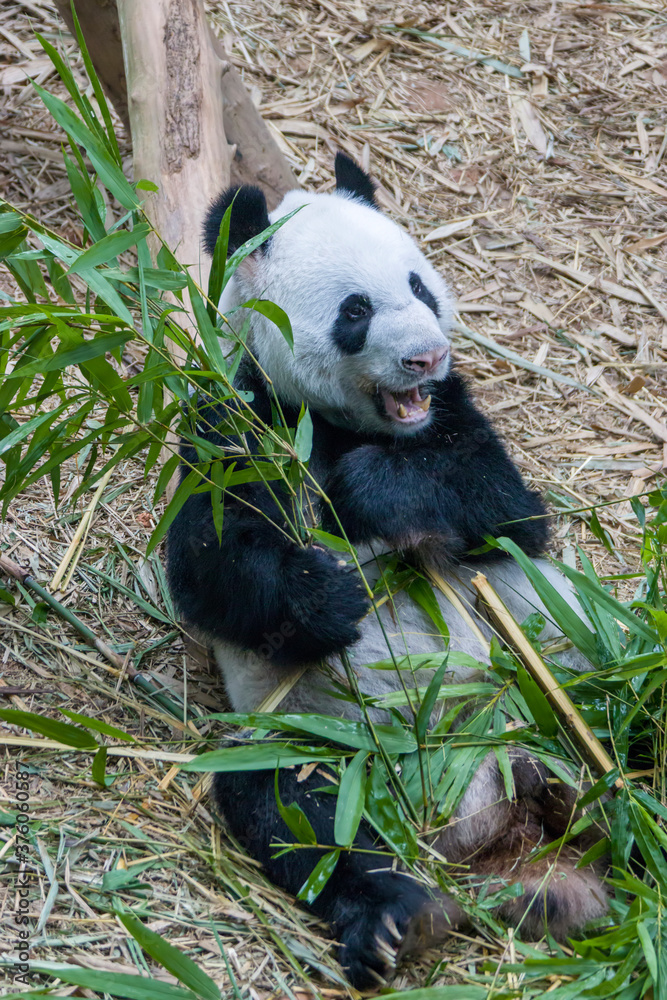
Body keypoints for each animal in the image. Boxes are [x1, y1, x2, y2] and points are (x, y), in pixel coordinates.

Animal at [167, 154, 608, 989]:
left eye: (420, 287)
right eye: (355, 310)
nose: (425, 356)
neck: (337, 426)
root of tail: (474, 821)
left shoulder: (453, 417)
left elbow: (506, 510)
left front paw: (371, 490)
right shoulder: (235, 421)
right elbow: (212, 569)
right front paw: (328, 594)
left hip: (554, 678)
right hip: (313, 737)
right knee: (297, 809)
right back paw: (402, 918)